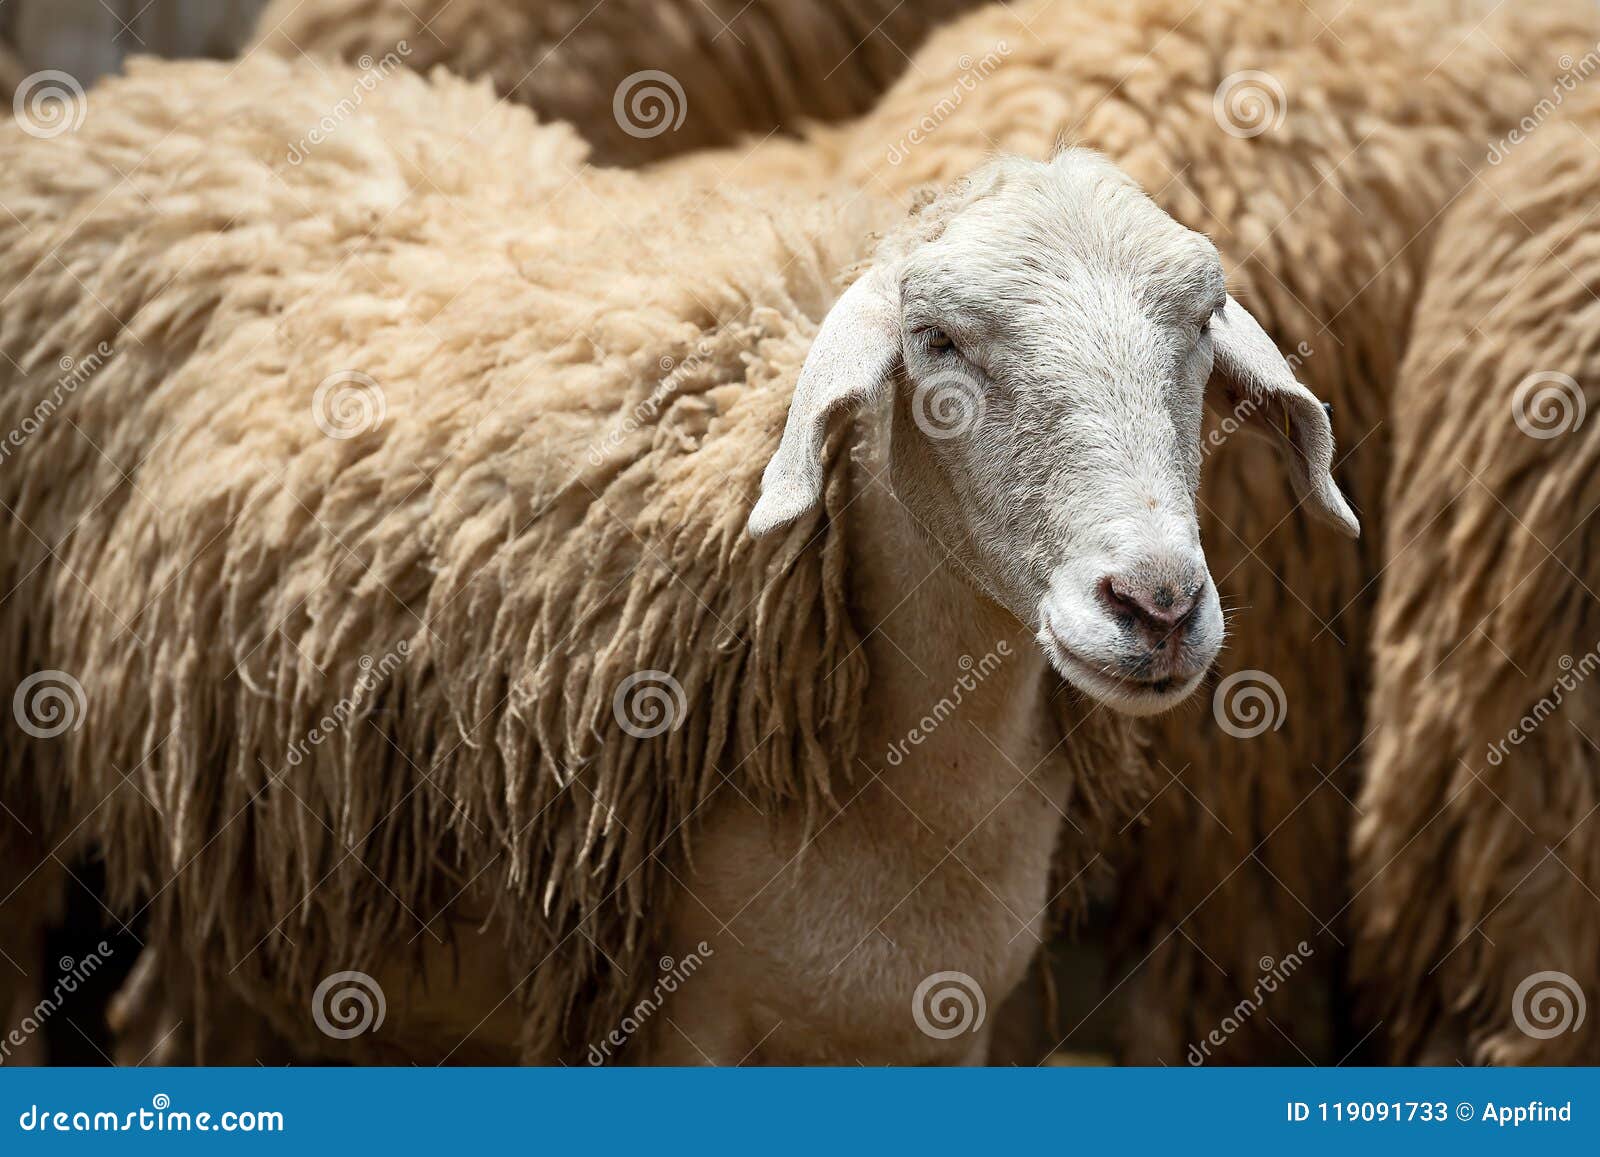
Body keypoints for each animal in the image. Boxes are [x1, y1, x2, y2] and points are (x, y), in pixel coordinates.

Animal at [0, 53, 1354, 1063]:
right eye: (935, 341)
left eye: (1200, 323)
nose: (1156, 602)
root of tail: (144, 91)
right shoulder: (664, 1014)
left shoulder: (941, 1019)